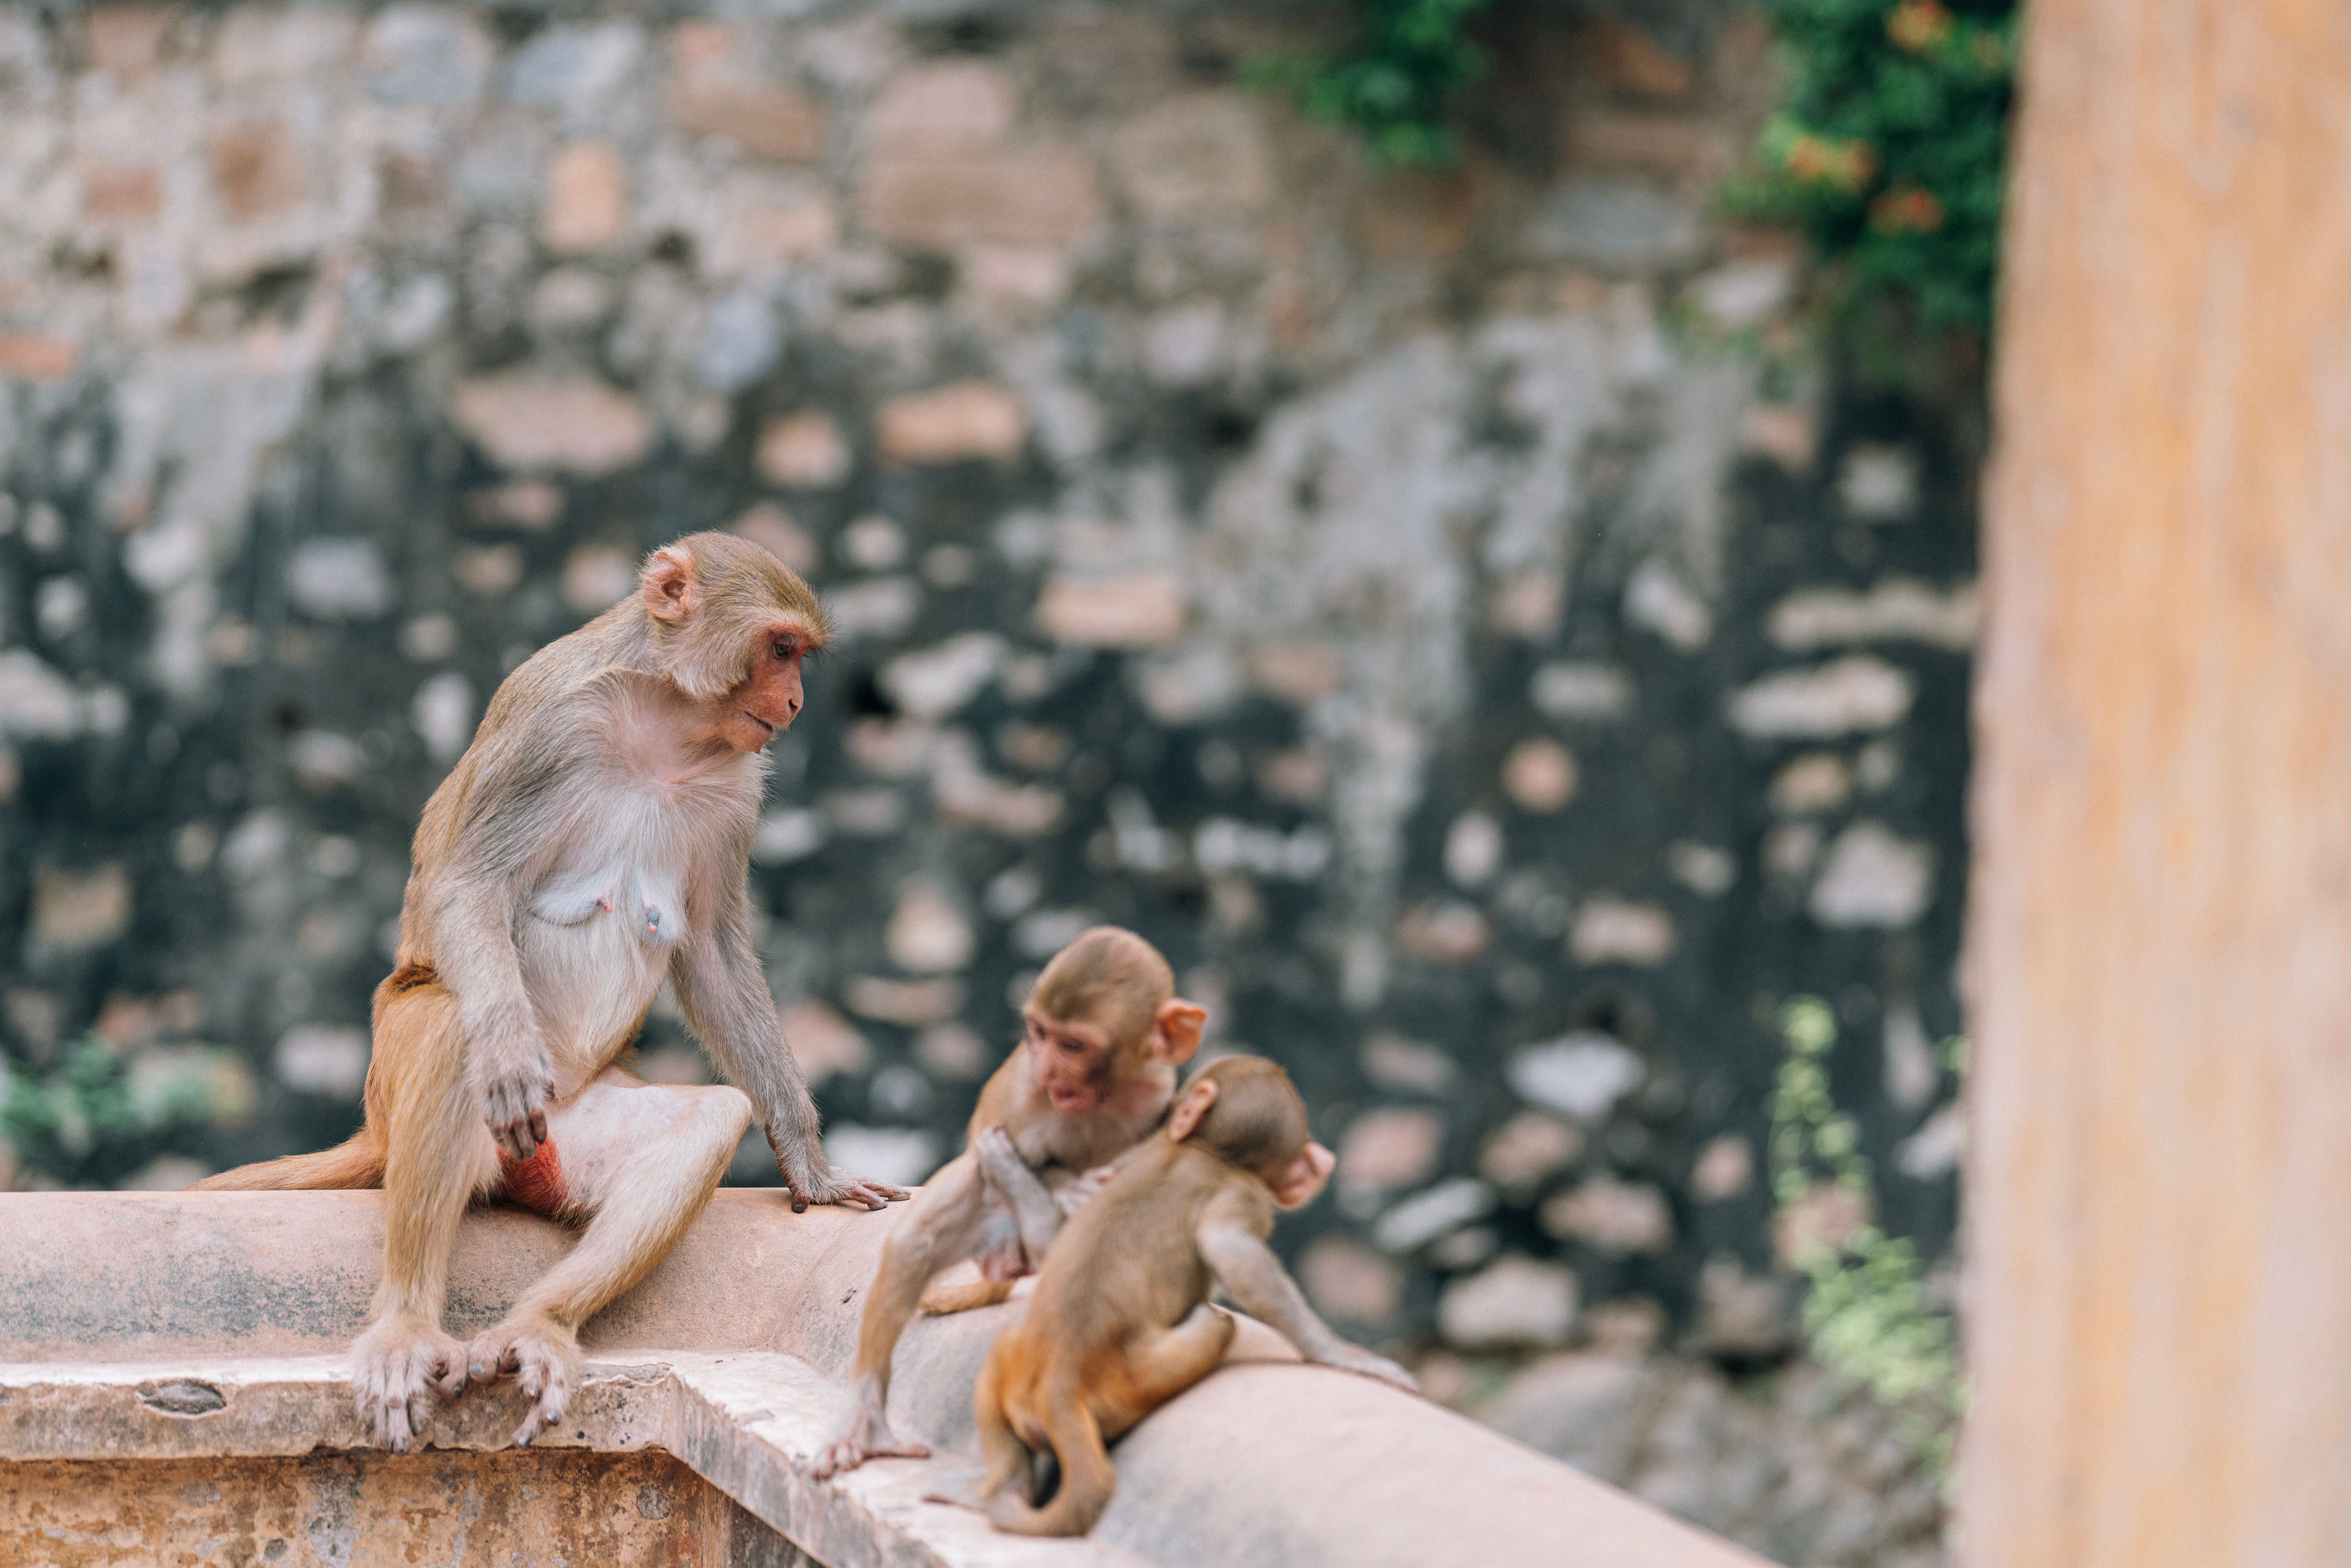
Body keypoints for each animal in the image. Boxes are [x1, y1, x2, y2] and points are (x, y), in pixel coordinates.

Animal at [193, 532, 907, 1451]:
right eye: (780, 648)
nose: (794, 699)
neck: (667, 719)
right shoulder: (549, 725)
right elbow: (469, 887)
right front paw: (501, 1046)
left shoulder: (740, 788)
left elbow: (712, 953)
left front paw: (809, 1164)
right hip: (425, 1084)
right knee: (447, 1026)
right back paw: (407, 1326)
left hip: (559, 1143)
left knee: (710, 1115)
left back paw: (538, 1326)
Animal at [809, 927, 1333, 1479]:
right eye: (1040, 1033)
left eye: (1074, 1044)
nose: (1048, 1066)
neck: (1100, 1095)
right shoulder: (1027, 1096)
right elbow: (1009, 1153)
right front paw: (1068, 1186)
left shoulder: (1156, 1088)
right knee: (920, 1240)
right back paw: (865, 1418)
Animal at [941, 1054, 1417, 1537]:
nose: (1317, 1161)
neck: (1200, 1149)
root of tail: (1061, 1383)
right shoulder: (1242, 1193)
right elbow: (1229, 1247)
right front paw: (1340, 1354)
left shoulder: (1125, 1161)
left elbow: (1056, 1242)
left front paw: (1009, 1173)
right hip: (1135, 1383)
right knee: (1215, 1322)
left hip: (1021, 1373)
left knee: (1004, 1347)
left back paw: (1001, 1488)